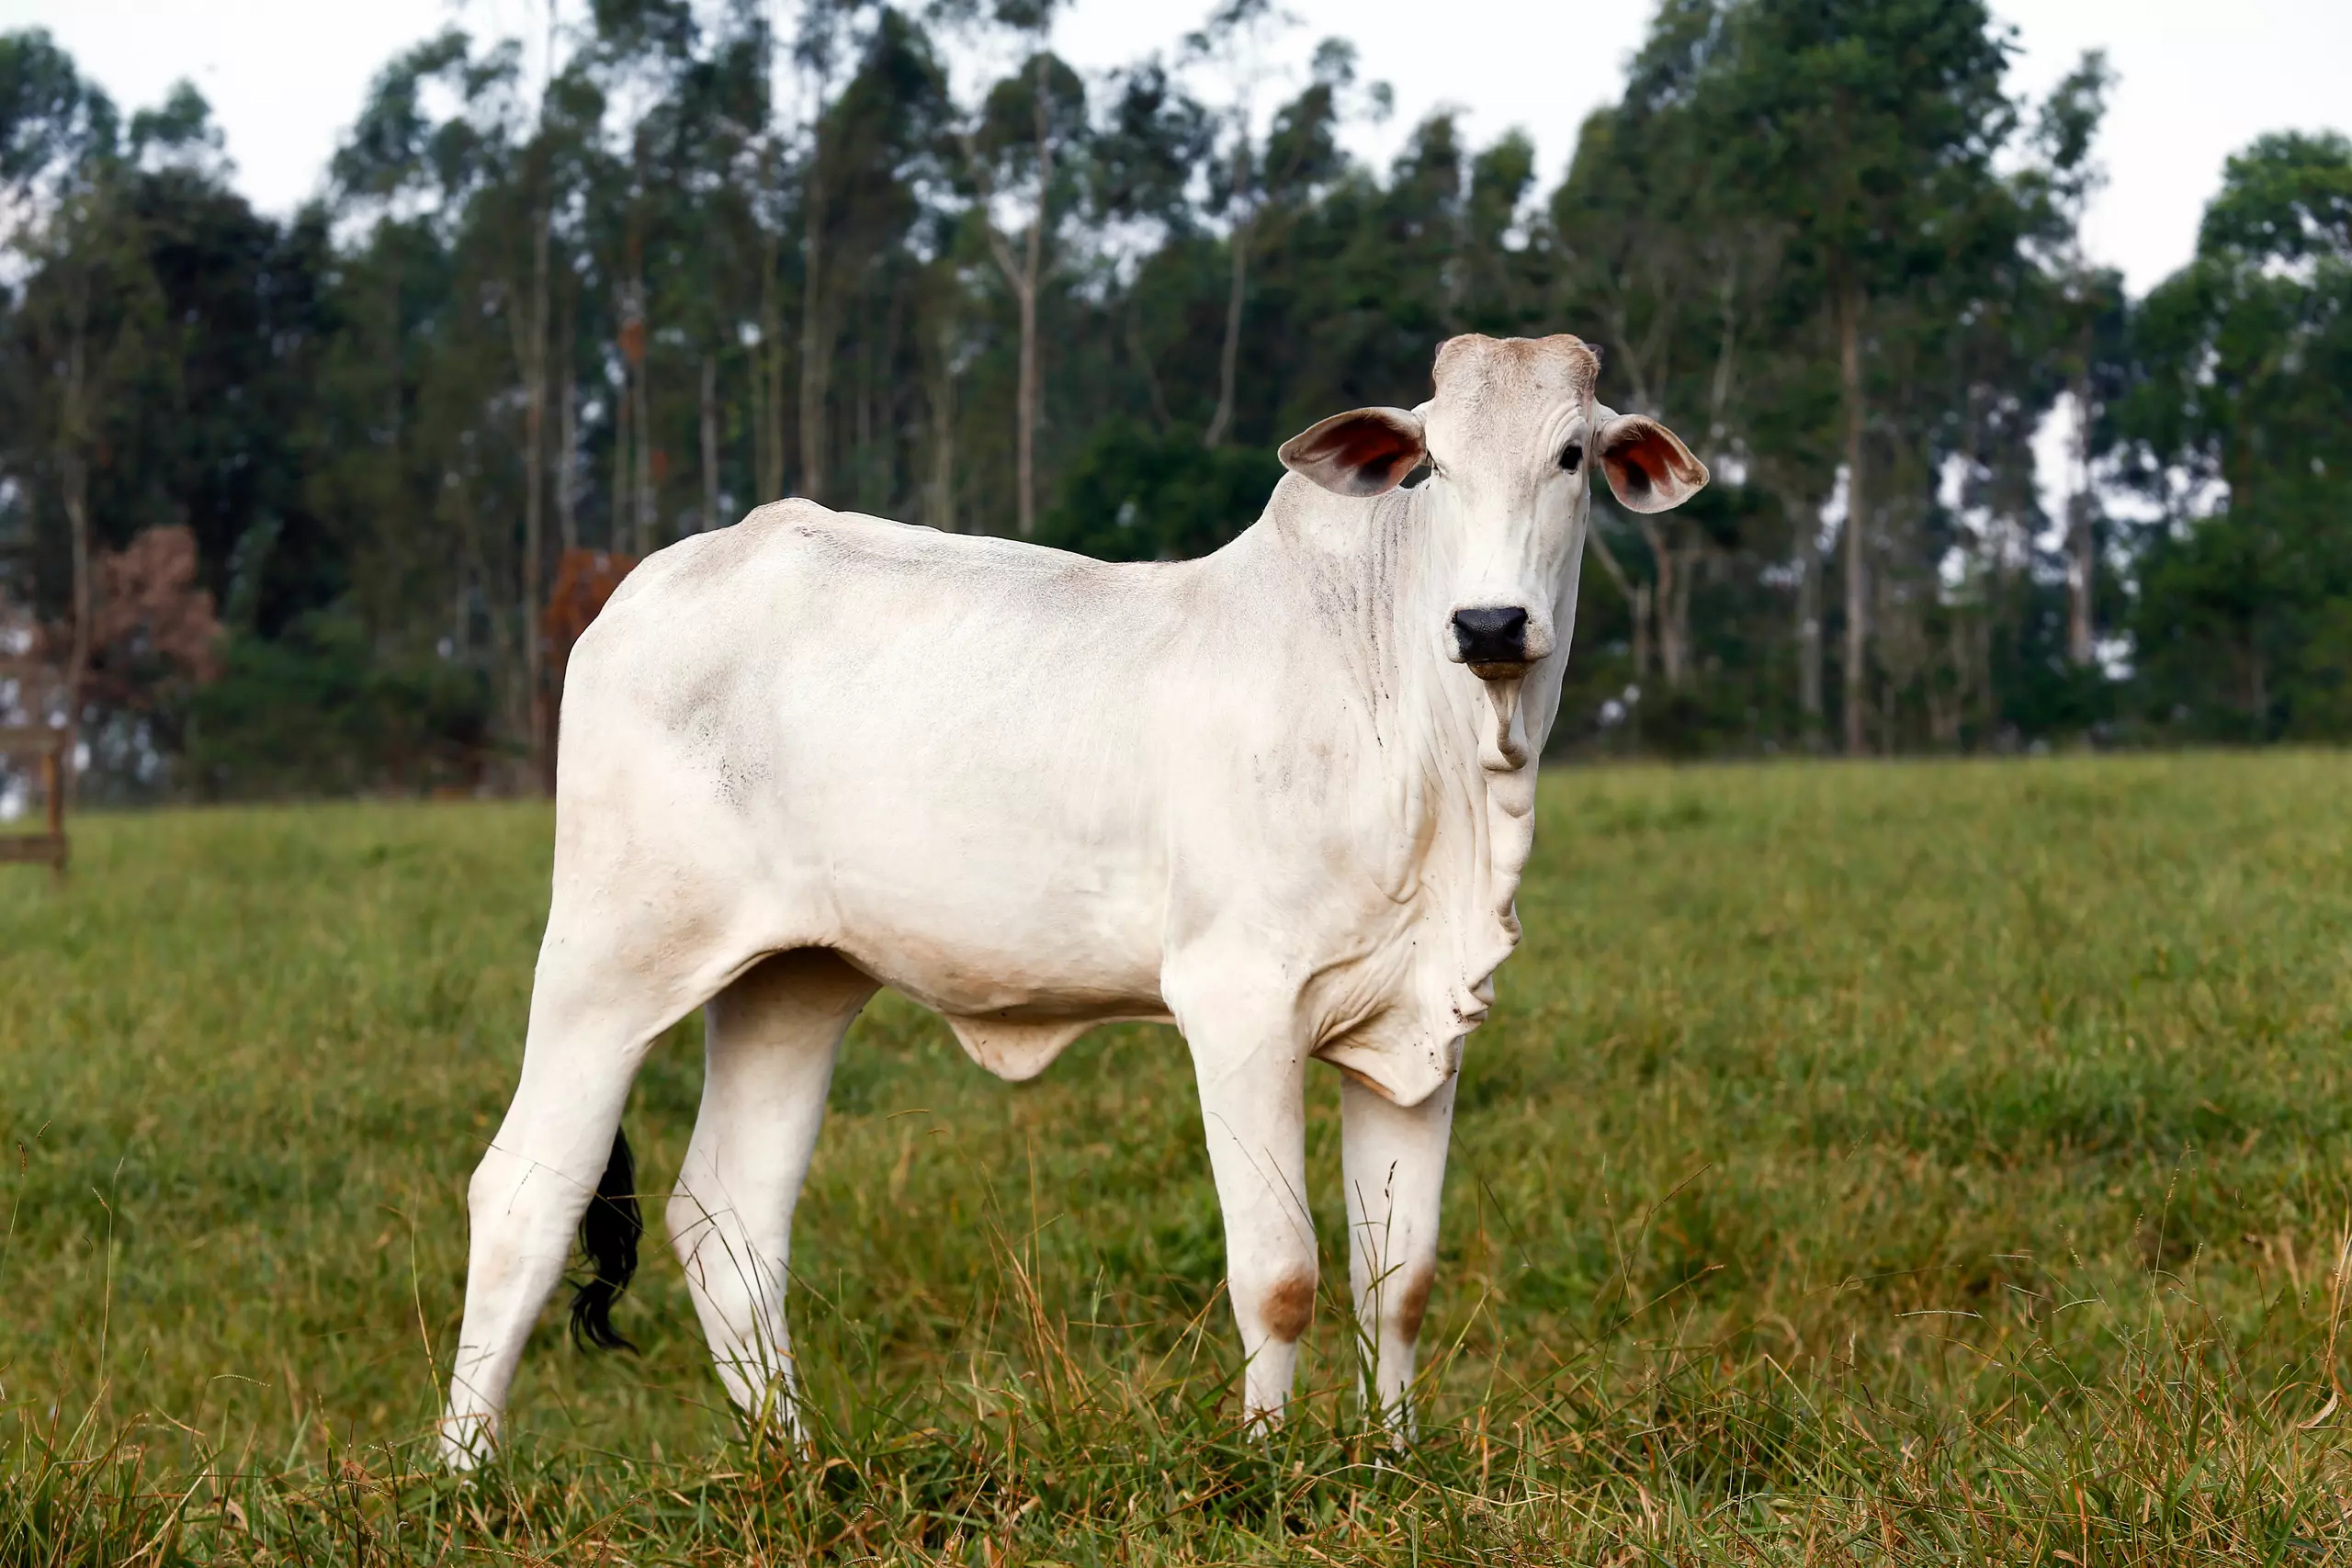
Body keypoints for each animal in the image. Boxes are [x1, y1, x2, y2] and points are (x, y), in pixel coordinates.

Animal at [439, 333, 1706, 1468]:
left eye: (1571, 456)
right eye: (1431, 462)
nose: (1489, 624)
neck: (1425, 735)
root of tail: (643, 592)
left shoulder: (1419, 1028)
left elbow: (1396, 1278)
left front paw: (1387, 1468)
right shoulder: (1238, 1007)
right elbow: (1281, 1273)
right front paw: (1264, 1466)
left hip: (796, 979)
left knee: (728, 1216)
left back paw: (790, 1471)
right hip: (611, 958)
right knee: (524, 1193)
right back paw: (468, 1482)